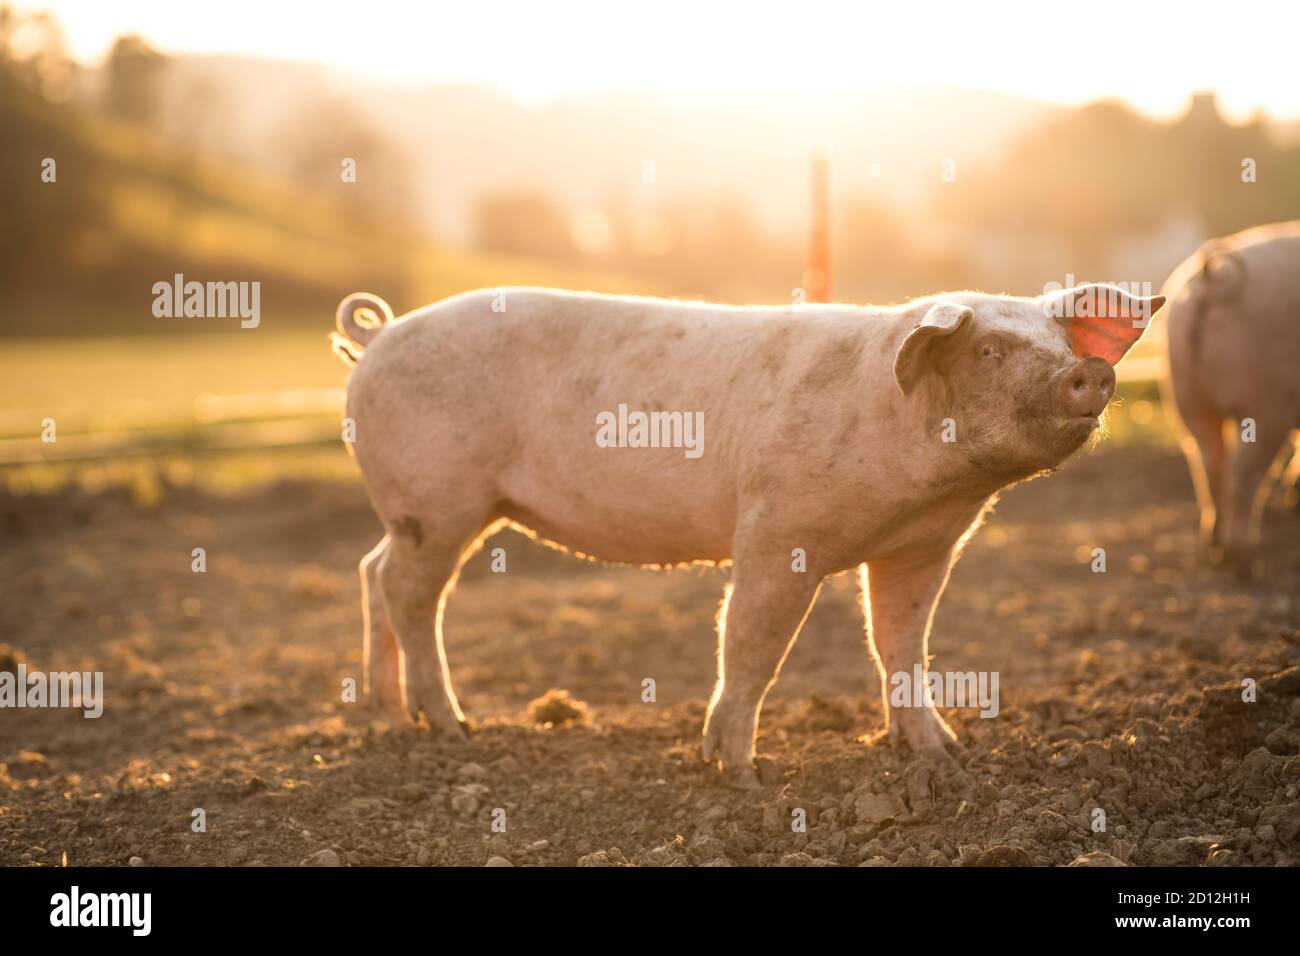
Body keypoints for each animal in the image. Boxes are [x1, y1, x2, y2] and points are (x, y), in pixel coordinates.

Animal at [332, 282, 1163, 788]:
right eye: (989, 351)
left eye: (1062, 343)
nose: (1092, 371)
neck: (921, 490)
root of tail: (376, 341)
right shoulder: (774, 529)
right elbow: (753, 645)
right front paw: (740, 775)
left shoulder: (923, 547)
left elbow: (902, 643)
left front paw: (943, 756)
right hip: (438, 500)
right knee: (408, 591)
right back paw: (454, 729)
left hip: (421, 512)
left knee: (372, 570)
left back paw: (391, 717)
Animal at [1161, 222, 1300, 578]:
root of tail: (1212, 277)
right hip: (1265, 405)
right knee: (1242, 476)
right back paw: (1244, 563)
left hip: (1187, 399)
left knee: (1208, 465)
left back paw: (1211, 550)